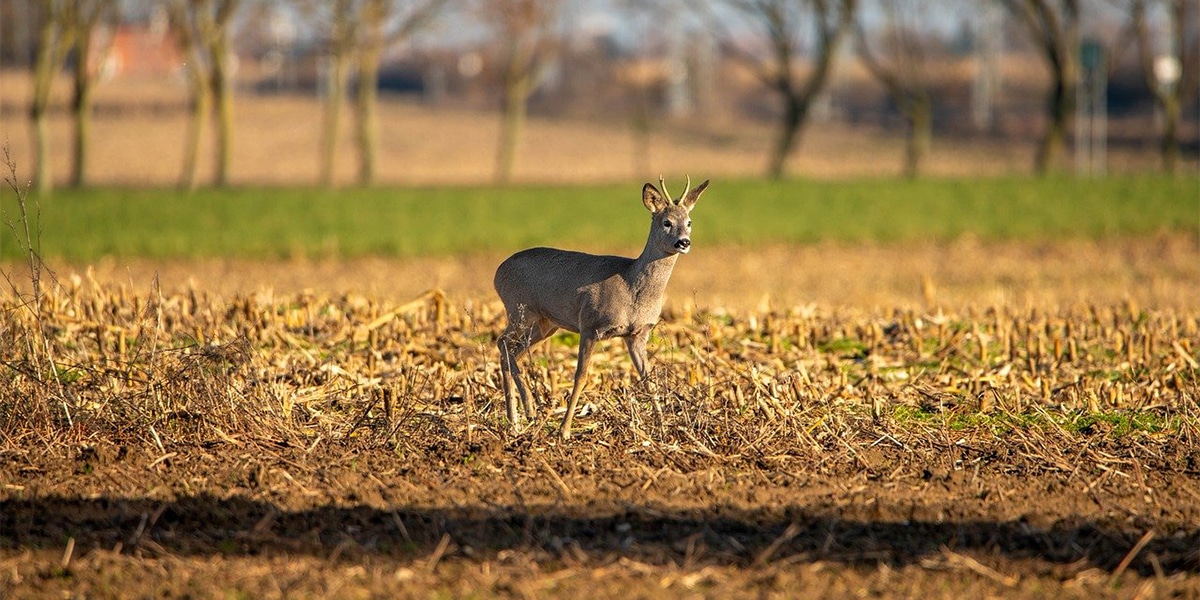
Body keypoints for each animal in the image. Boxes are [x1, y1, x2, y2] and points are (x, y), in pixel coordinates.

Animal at [494, 176, 710, 440]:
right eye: (666, 222)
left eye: (689, 222)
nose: (684, 242)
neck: (632, 287)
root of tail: (498, 273)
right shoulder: (590, 324)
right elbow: (581, 376)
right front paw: (564, 430)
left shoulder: (637, 334)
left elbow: (648, 379)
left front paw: (662, 429)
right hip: (519, 310)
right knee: (502, 342)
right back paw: (529, 408)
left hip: (545, 325)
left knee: (512, 351)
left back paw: (515, 421)